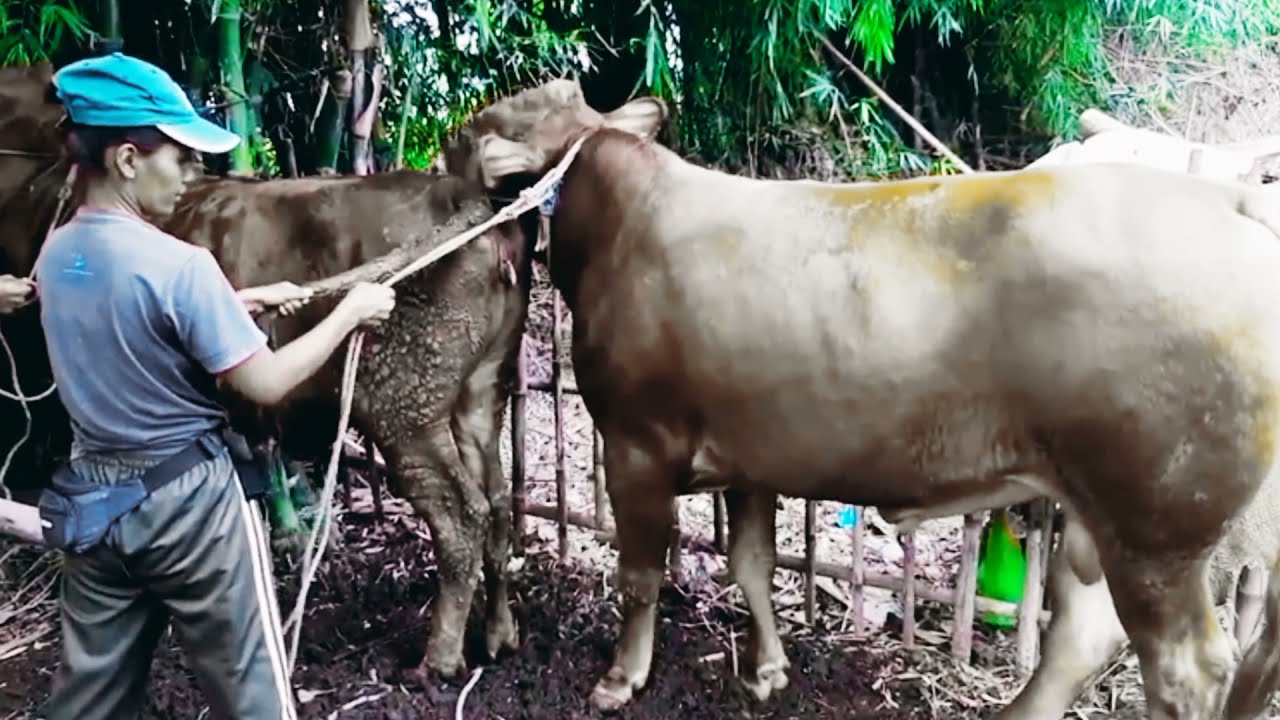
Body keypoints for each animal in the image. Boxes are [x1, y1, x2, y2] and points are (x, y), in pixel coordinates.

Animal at [435, 77, 1280, 719]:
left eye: (476, 128)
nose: (442, 146)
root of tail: (1224, 202)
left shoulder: (636, 442)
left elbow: (641, 571)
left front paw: (620, 677)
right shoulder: (750, 453)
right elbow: (750, 561)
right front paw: (767, 670)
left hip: (1157, 524)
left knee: (1187, 666)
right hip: (1102, 513)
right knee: (1084, 631)